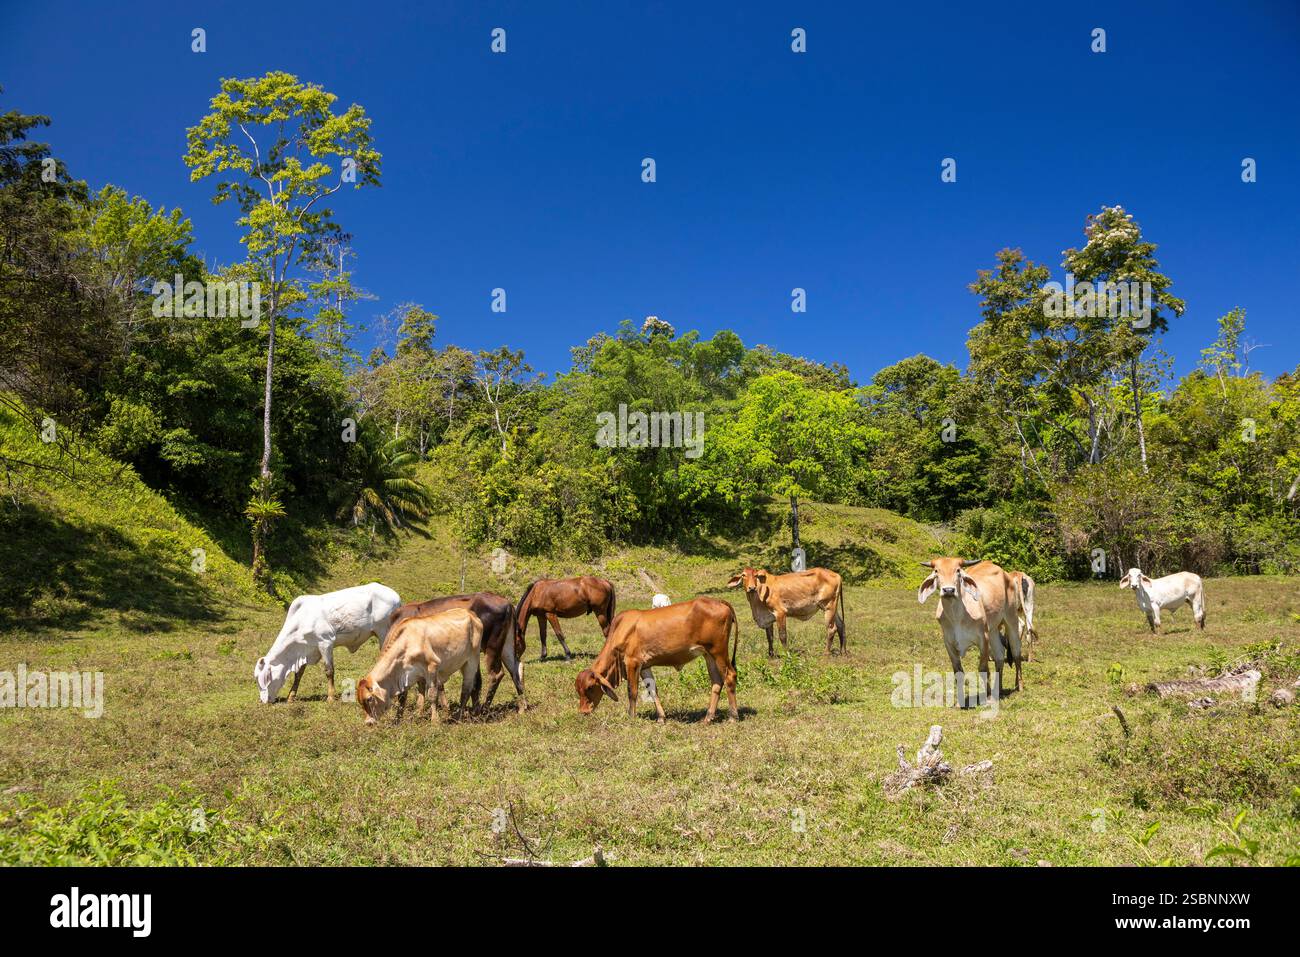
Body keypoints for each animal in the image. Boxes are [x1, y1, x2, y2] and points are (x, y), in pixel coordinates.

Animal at [254, 582, 401, 704]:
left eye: (264, 679)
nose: (263, 701)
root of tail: (396, 596)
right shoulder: (307, 649)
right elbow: (299, 674)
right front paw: (291, 697)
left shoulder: (325, 643)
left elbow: (329, 670)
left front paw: (330, 697)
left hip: (384, 632)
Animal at [390, 592, 527, 712]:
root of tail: (508, 603)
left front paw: (444, 709)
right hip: (506, 647)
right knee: (515, 669)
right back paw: (522, 707)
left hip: (492, 647)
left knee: (496, 674)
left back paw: (485, 709)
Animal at [575, 596, 739, 723]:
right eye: (578, 689)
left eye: (590, 687)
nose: (583, 711)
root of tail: (718, 601)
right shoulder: (644, 666)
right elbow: (653, 690)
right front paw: (661, 718)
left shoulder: (632, 662)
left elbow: (632, 691)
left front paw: (631, 716)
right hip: (708, 655)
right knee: (717, 682)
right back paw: (708, 717)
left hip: (718, 651)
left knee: (730, 676)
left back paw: (733, 717)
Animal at [917, 558, 1023, 704]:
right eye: (936, 571)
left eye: (958, 571)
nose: (948, 590)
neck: (957, 615)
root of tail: (1006, 574)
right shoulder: (948, 643)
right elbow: (958, 672)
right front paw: (960, 702)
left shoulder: (983, 638)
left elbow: (983, 669)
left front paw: (987, 698)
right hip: (993, 630)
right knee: (1000, 656)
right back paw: (999, 689)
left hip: (1011, 619)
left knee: (1016, 652)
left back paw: (1019, 686)